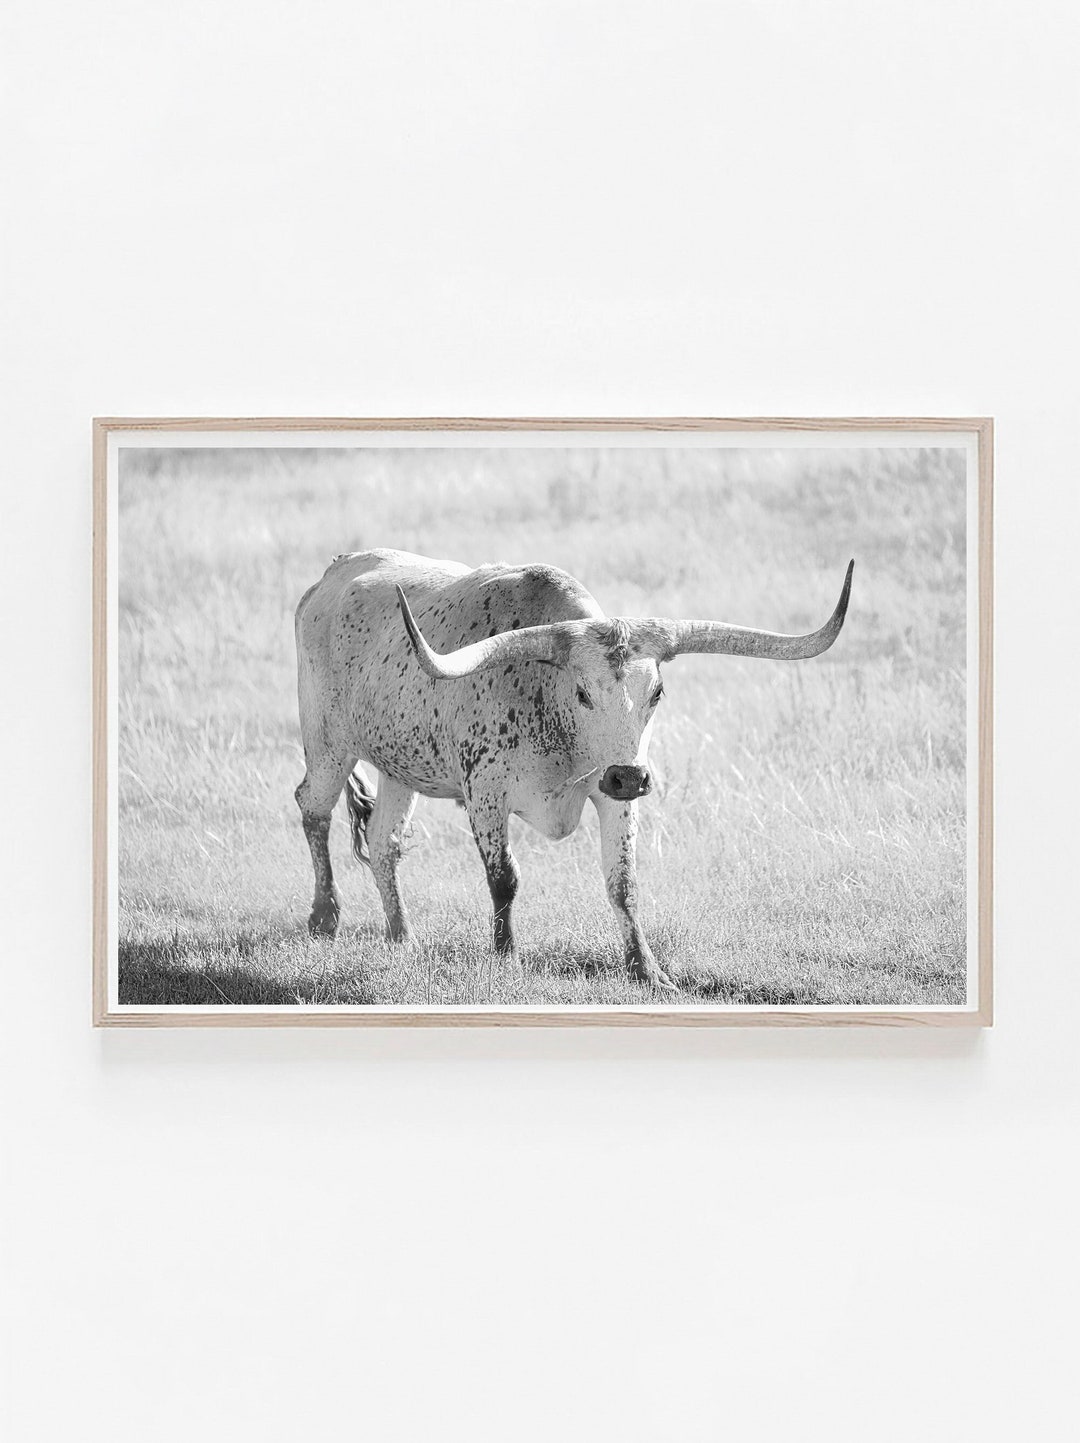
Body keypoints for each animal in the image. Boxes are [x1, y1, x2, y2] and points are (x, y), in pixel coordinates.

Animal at [294, 548, 853, 991]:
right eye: (584, 693)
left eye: (657, 691)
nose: (630, 776)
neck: (546, 697)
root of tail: (331, 574)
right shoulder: (485, 795)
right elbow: (504, 878)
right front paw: (506, 958)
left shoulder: (613, 799)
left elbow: (623, 882)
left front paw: (647, 969)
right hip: (328, 746)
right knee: (312, 808)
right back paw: (325, 917)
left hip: (401, 766)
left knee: (384, 842)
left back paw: (402, 935)